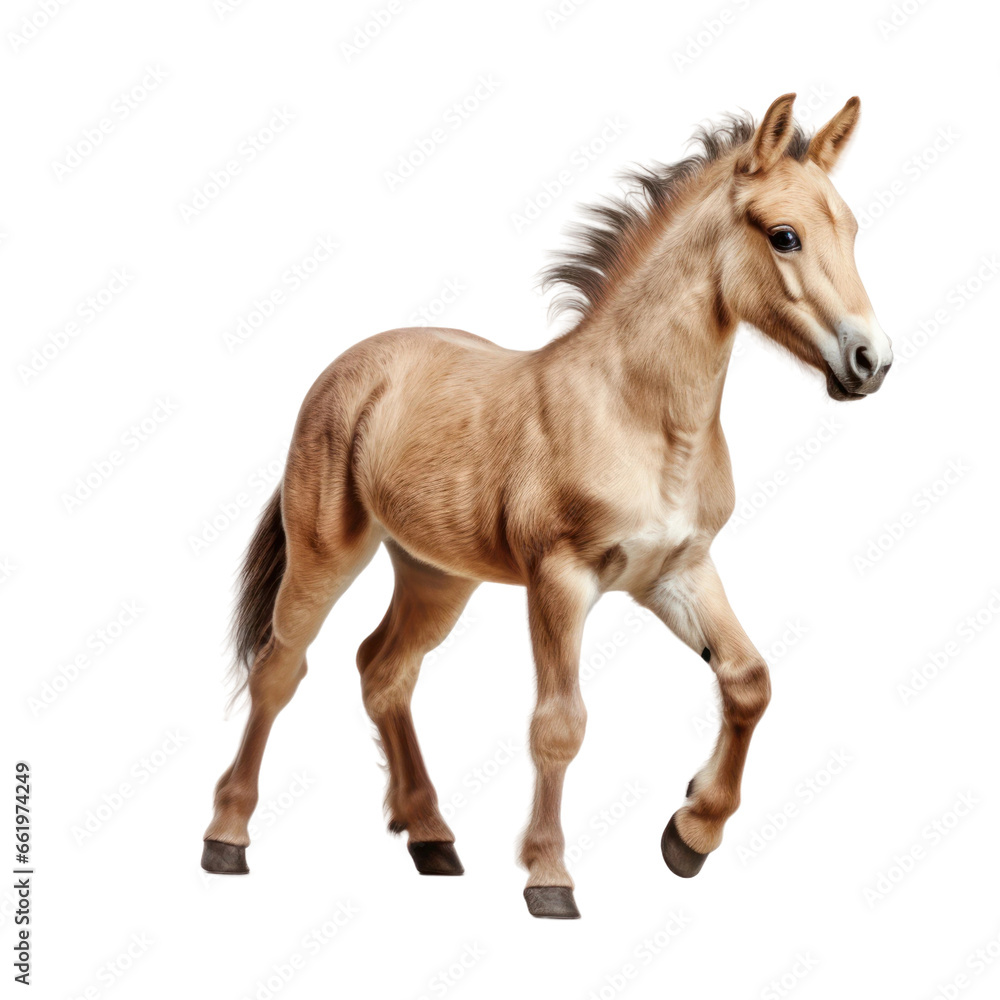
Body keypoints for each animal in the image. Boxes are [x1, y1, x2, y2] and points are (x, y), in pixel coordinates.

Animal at [201, 93, 893, 919]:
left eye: (852, 230)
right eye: (784, 235)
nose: (871, 361)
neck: (641, 418)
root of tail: (349, 366)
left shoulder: (678, 572)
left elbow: (748, 680)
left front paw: (691, 832)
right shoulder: (560, 579)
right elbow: (559, 725)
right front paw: (550, 879)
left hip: (437, 574)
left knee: (383, 668)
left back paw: (431, 837)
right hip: (326, 552)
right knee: (281, 667)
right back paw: (227, 839)